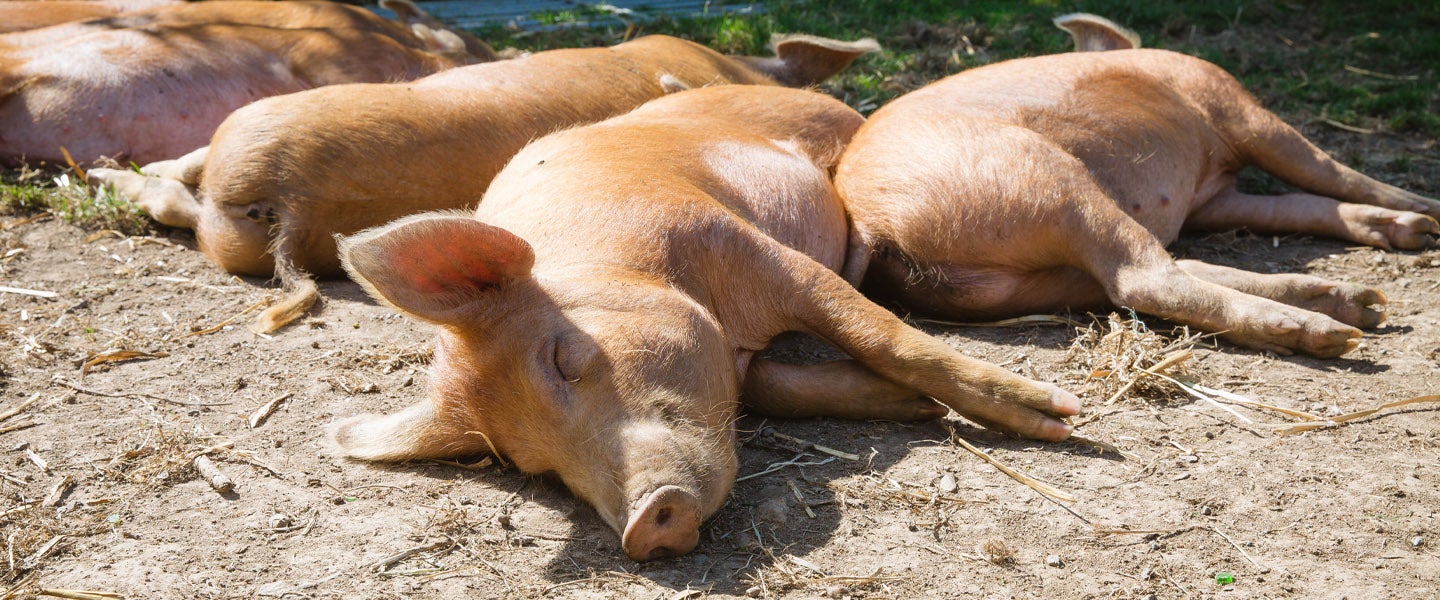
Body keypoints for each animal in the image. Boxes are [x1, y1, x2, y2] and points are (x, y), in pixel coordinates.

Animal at [331, 85, 1082, 561]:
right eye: (534, 467)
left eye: (564, 359)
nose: (645, 526)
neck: (616, 257)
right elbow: (774, 386)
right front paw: (915, 408)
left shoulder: (743, 243)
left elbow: (878, 332)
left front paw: (1059, 417)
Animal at [833, 14, 1440, 359]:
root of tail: (867, 221)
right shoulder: (1234, 105)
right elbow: (1327, 169)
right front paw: (1430, 214)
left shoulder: (1214, 199)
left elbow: (1299, 203)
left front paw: (1417, 226)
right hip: (1046, 181)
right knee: (1143, 279)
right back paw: (1339, 334)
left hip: (1013, 283)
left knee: (1147, 274)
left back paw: (1367, 306)